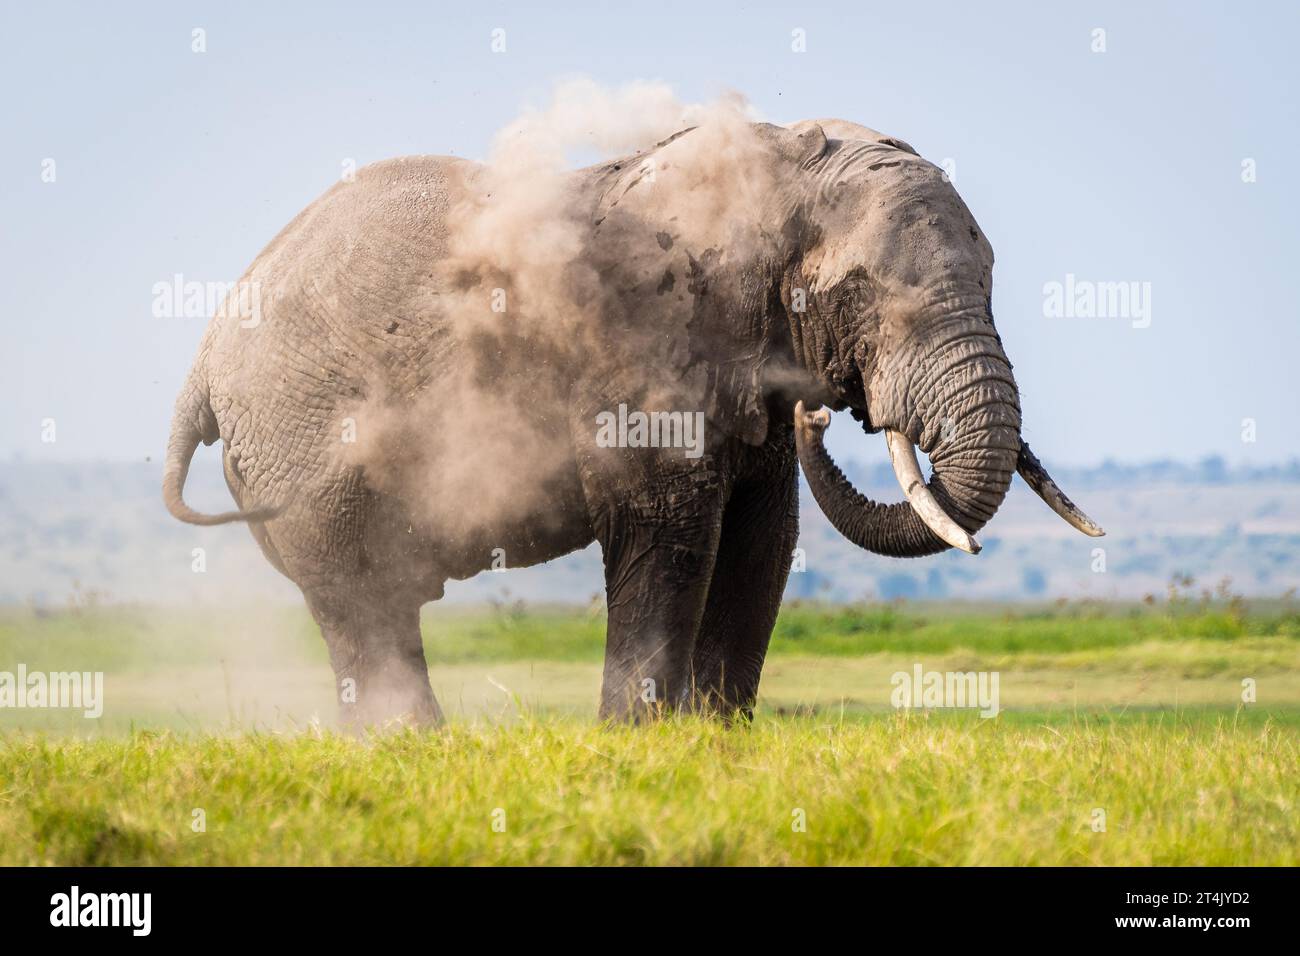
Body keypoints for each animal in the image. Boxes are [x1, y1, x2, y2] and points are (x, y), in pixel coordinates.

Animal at [163, 116, 1102, 726]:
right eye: (859, 293)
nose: (822, 416)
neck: (774, 174)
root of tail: (202, 362)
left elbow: (764, 539)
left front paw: (719, 741)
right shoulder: (639, 356)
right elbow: (672, 534)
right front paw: (639, 744)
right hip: (301, 445)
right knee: (362, 604)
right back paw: (413, 747)